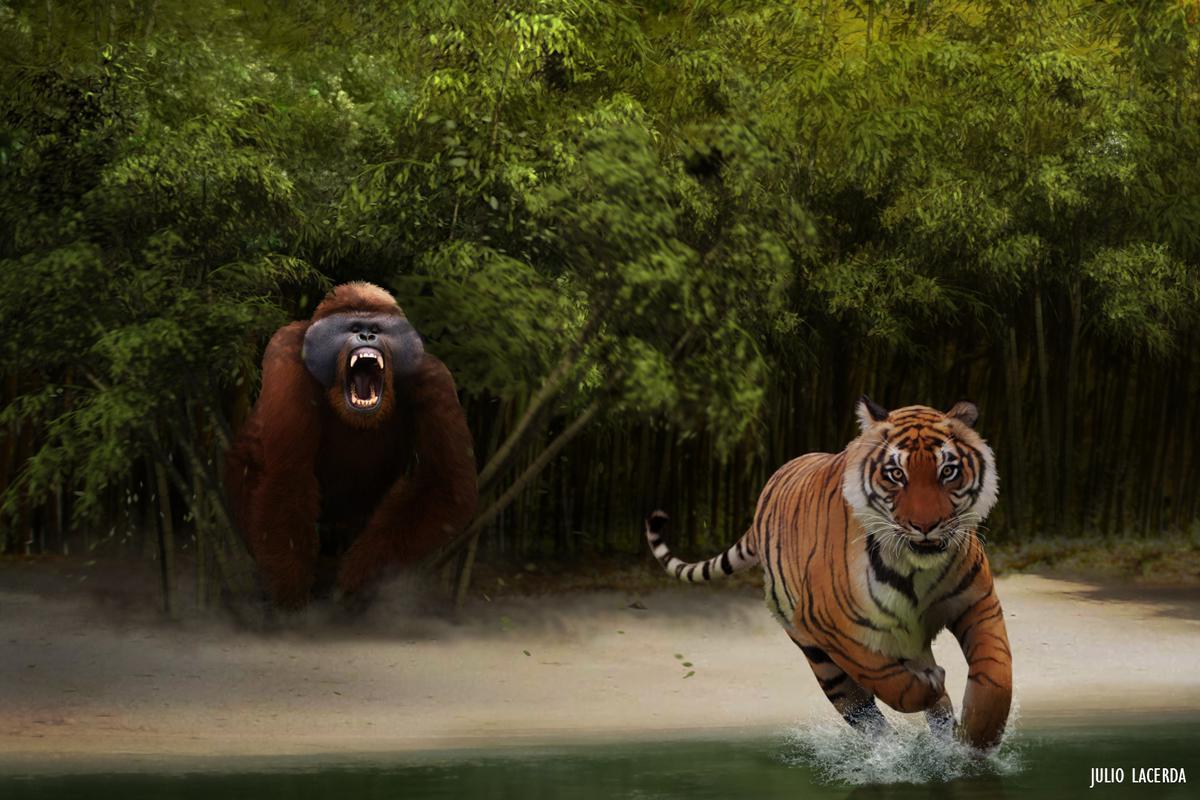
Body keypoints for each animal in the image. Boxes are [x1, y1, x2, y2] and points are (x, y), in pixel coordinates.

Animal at [644, 397, 1012, 749]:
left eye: (948, 471)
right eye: (896, 474)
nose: (925, 526)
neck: (915, 570)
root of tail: (768, 489)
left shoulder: (977, 601)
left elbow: (996, 673)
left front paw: (979, 738)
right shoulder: (832, 627)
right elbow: (889, 681)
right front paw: (930, 687)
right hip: (820, 657)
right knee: (864, 714)